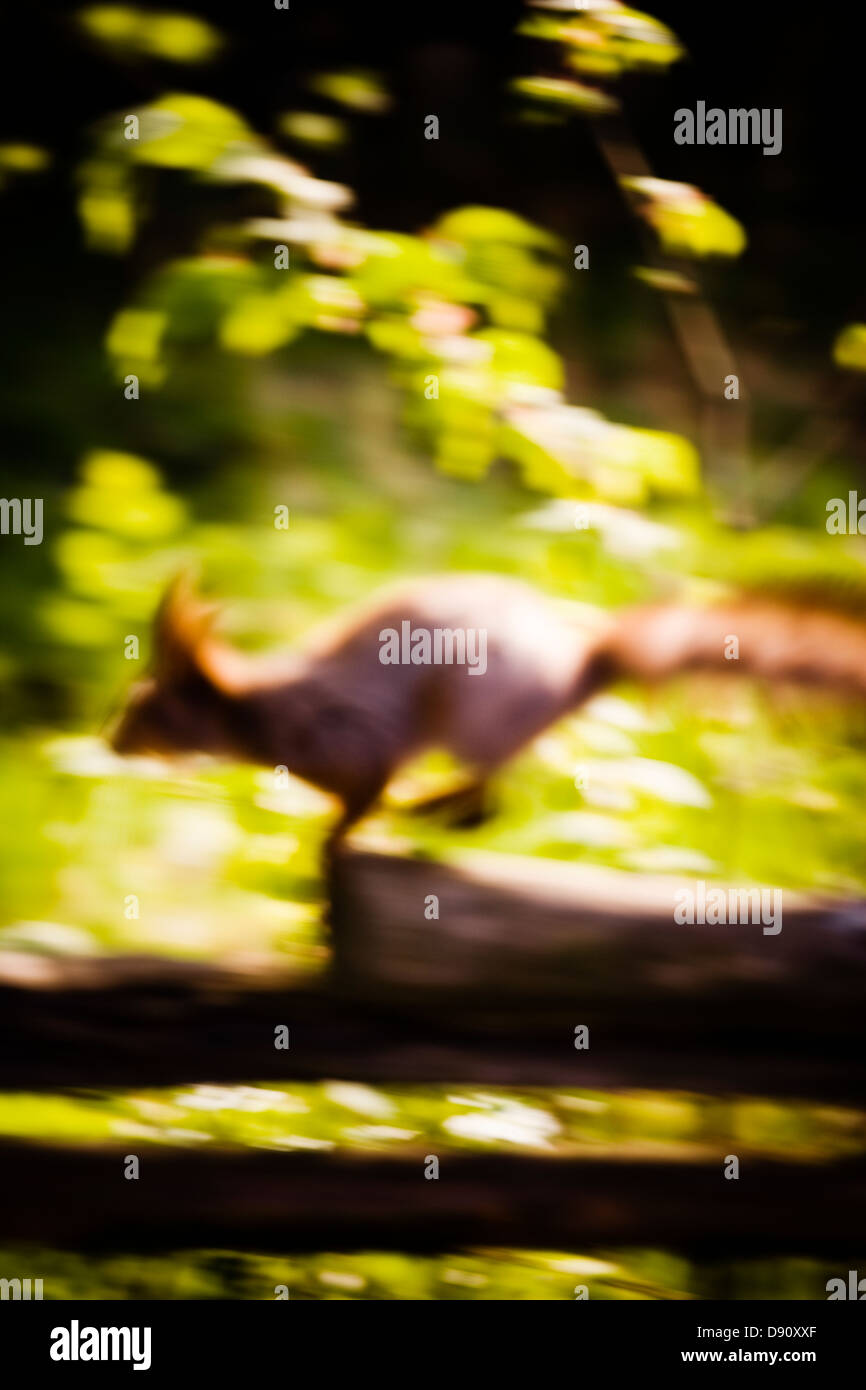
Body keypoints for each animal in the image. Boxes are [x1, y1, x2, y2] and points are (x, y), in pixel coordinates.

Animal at [110, 572, 866, 848]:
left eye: (148, 712)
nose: (111, 741)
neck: (255, 707)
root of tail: (576, 673)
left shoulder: (350, 743)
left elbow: (365, 792)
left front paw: (335, 837)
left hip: (474, 717)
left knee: (489, 800)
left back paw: (428, 811)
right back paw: (428, 810)